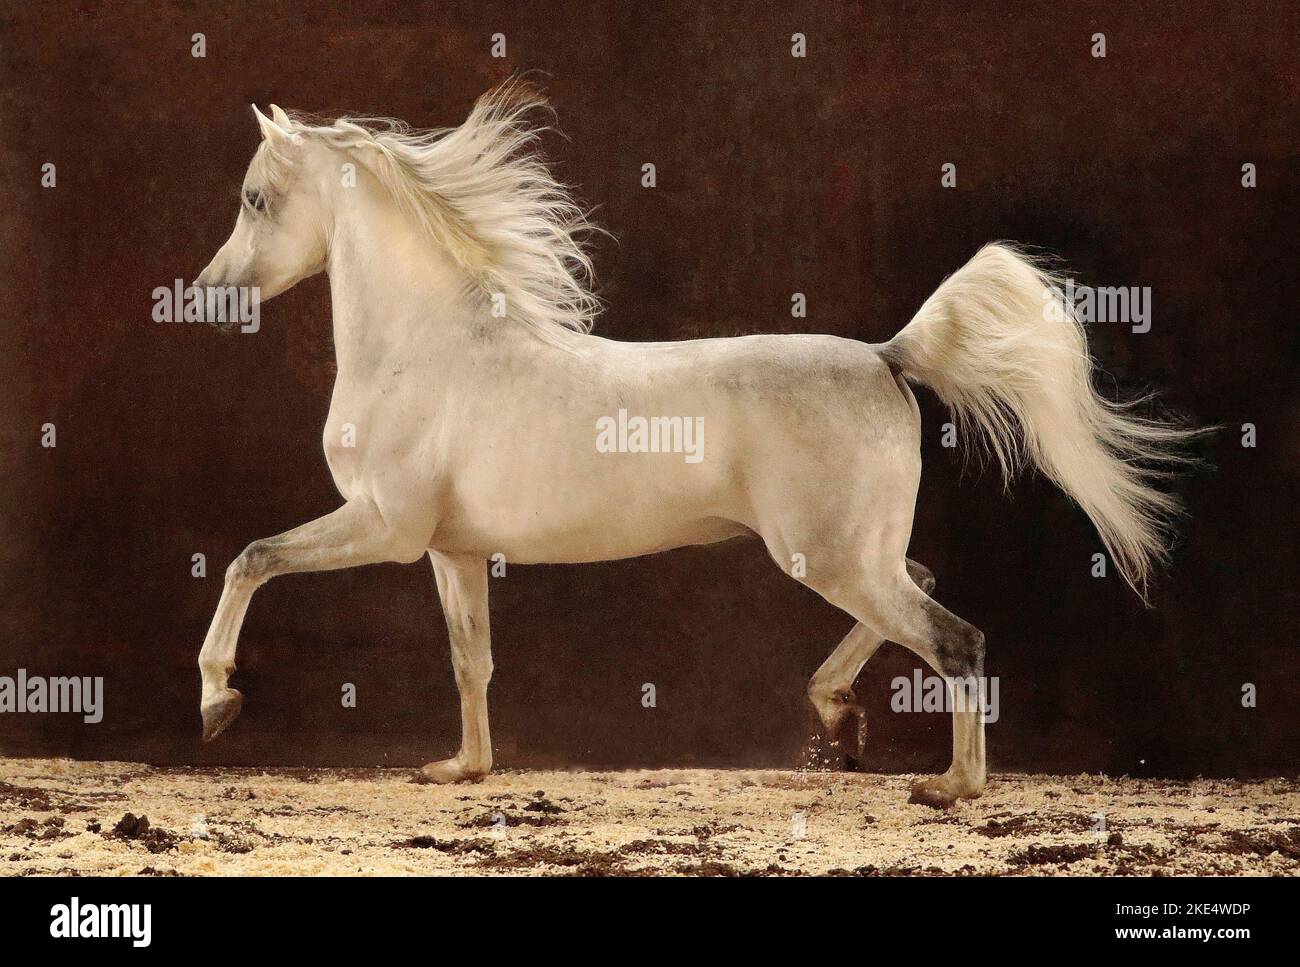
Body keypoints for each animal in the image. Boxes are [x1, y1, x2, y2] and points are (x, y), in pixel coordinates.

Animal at [193, 80, 1194, 808]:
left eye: (254, 197)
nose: (207, 293)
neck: (430, 345)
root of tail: (886, 355)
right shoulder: (450, 548)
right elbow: (469, 657)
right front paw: (462, 769)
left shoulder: (385, 525)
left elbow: (251, 557)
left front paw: (217, 699)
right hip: (852, 553)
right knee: (923, 584)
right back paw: (838, 712)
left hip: (828, 555)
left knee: (957, 638)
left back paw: (952, 786)